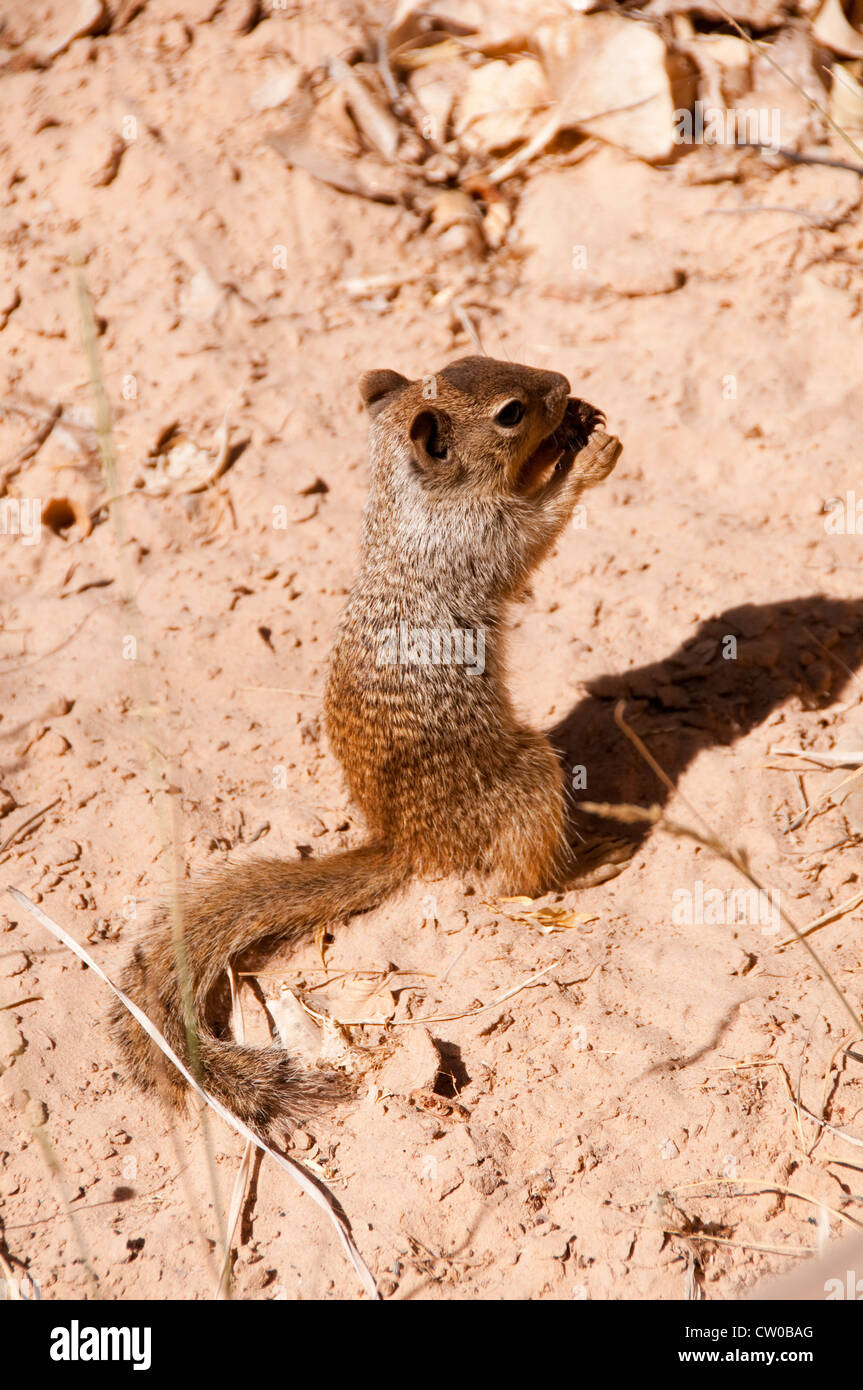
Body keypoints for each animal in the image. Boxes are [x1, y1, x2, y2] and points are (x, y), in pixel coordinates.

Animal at [111, 356, 622, 1140]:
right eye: (509, 412)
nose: (562, 385)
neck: (411, 505)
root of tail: (406, 840)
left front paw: (580, 426)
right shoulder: (482, 539)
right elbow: (537, 528)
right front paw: (588, 458)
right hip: (529, 778)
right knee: (512, 881)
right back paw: (587, 869)